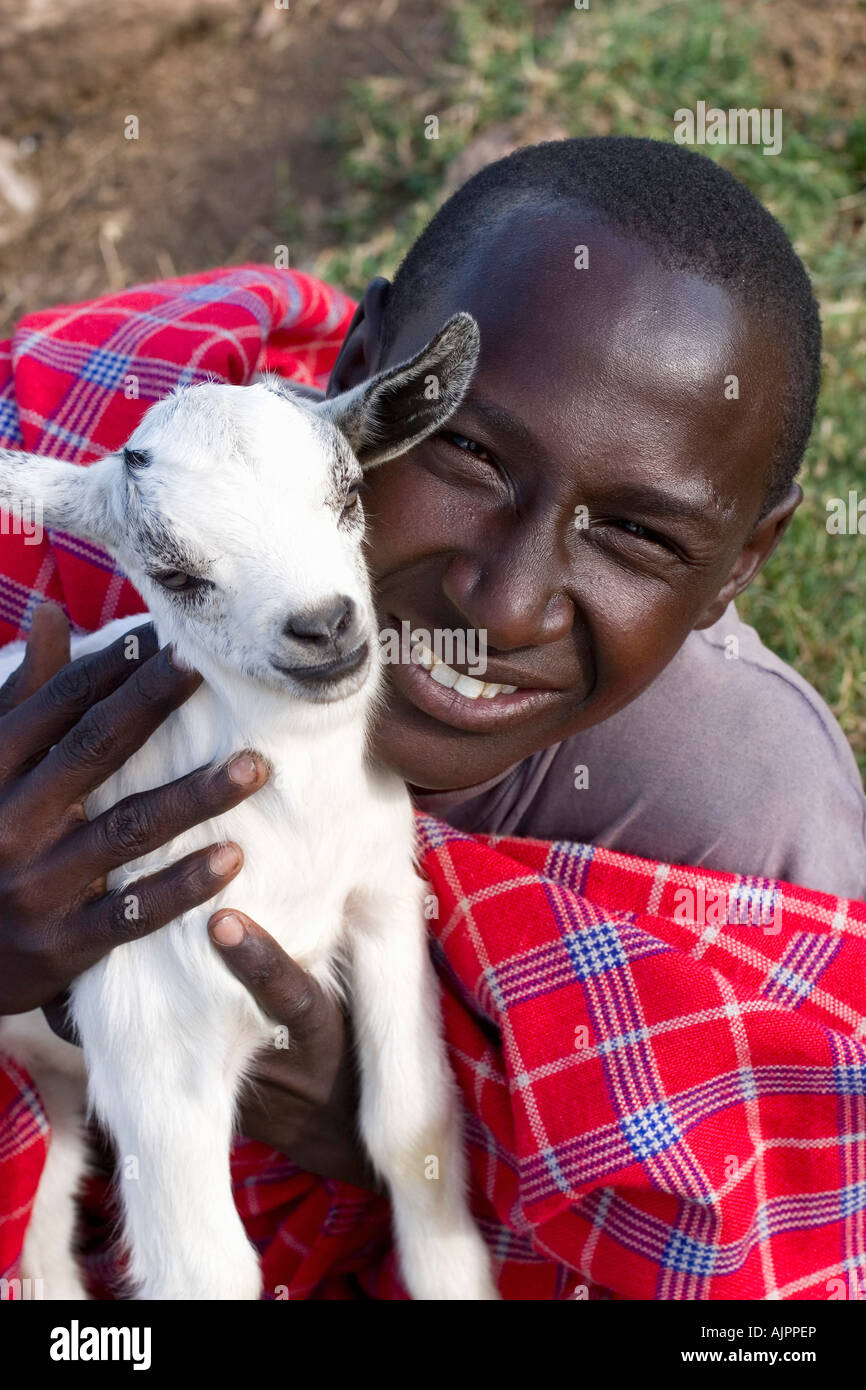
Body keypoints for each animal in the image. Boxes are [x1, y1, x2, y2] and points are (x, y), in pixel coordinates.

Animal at [0, 312, 500, 1300]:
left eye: (348, 494)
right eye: (172, 572)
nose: (325, 626)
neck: (291, 832)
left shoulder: (382, 898)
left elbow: (410, 1130)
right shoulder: (152, 1031)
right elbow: (204, 1266)